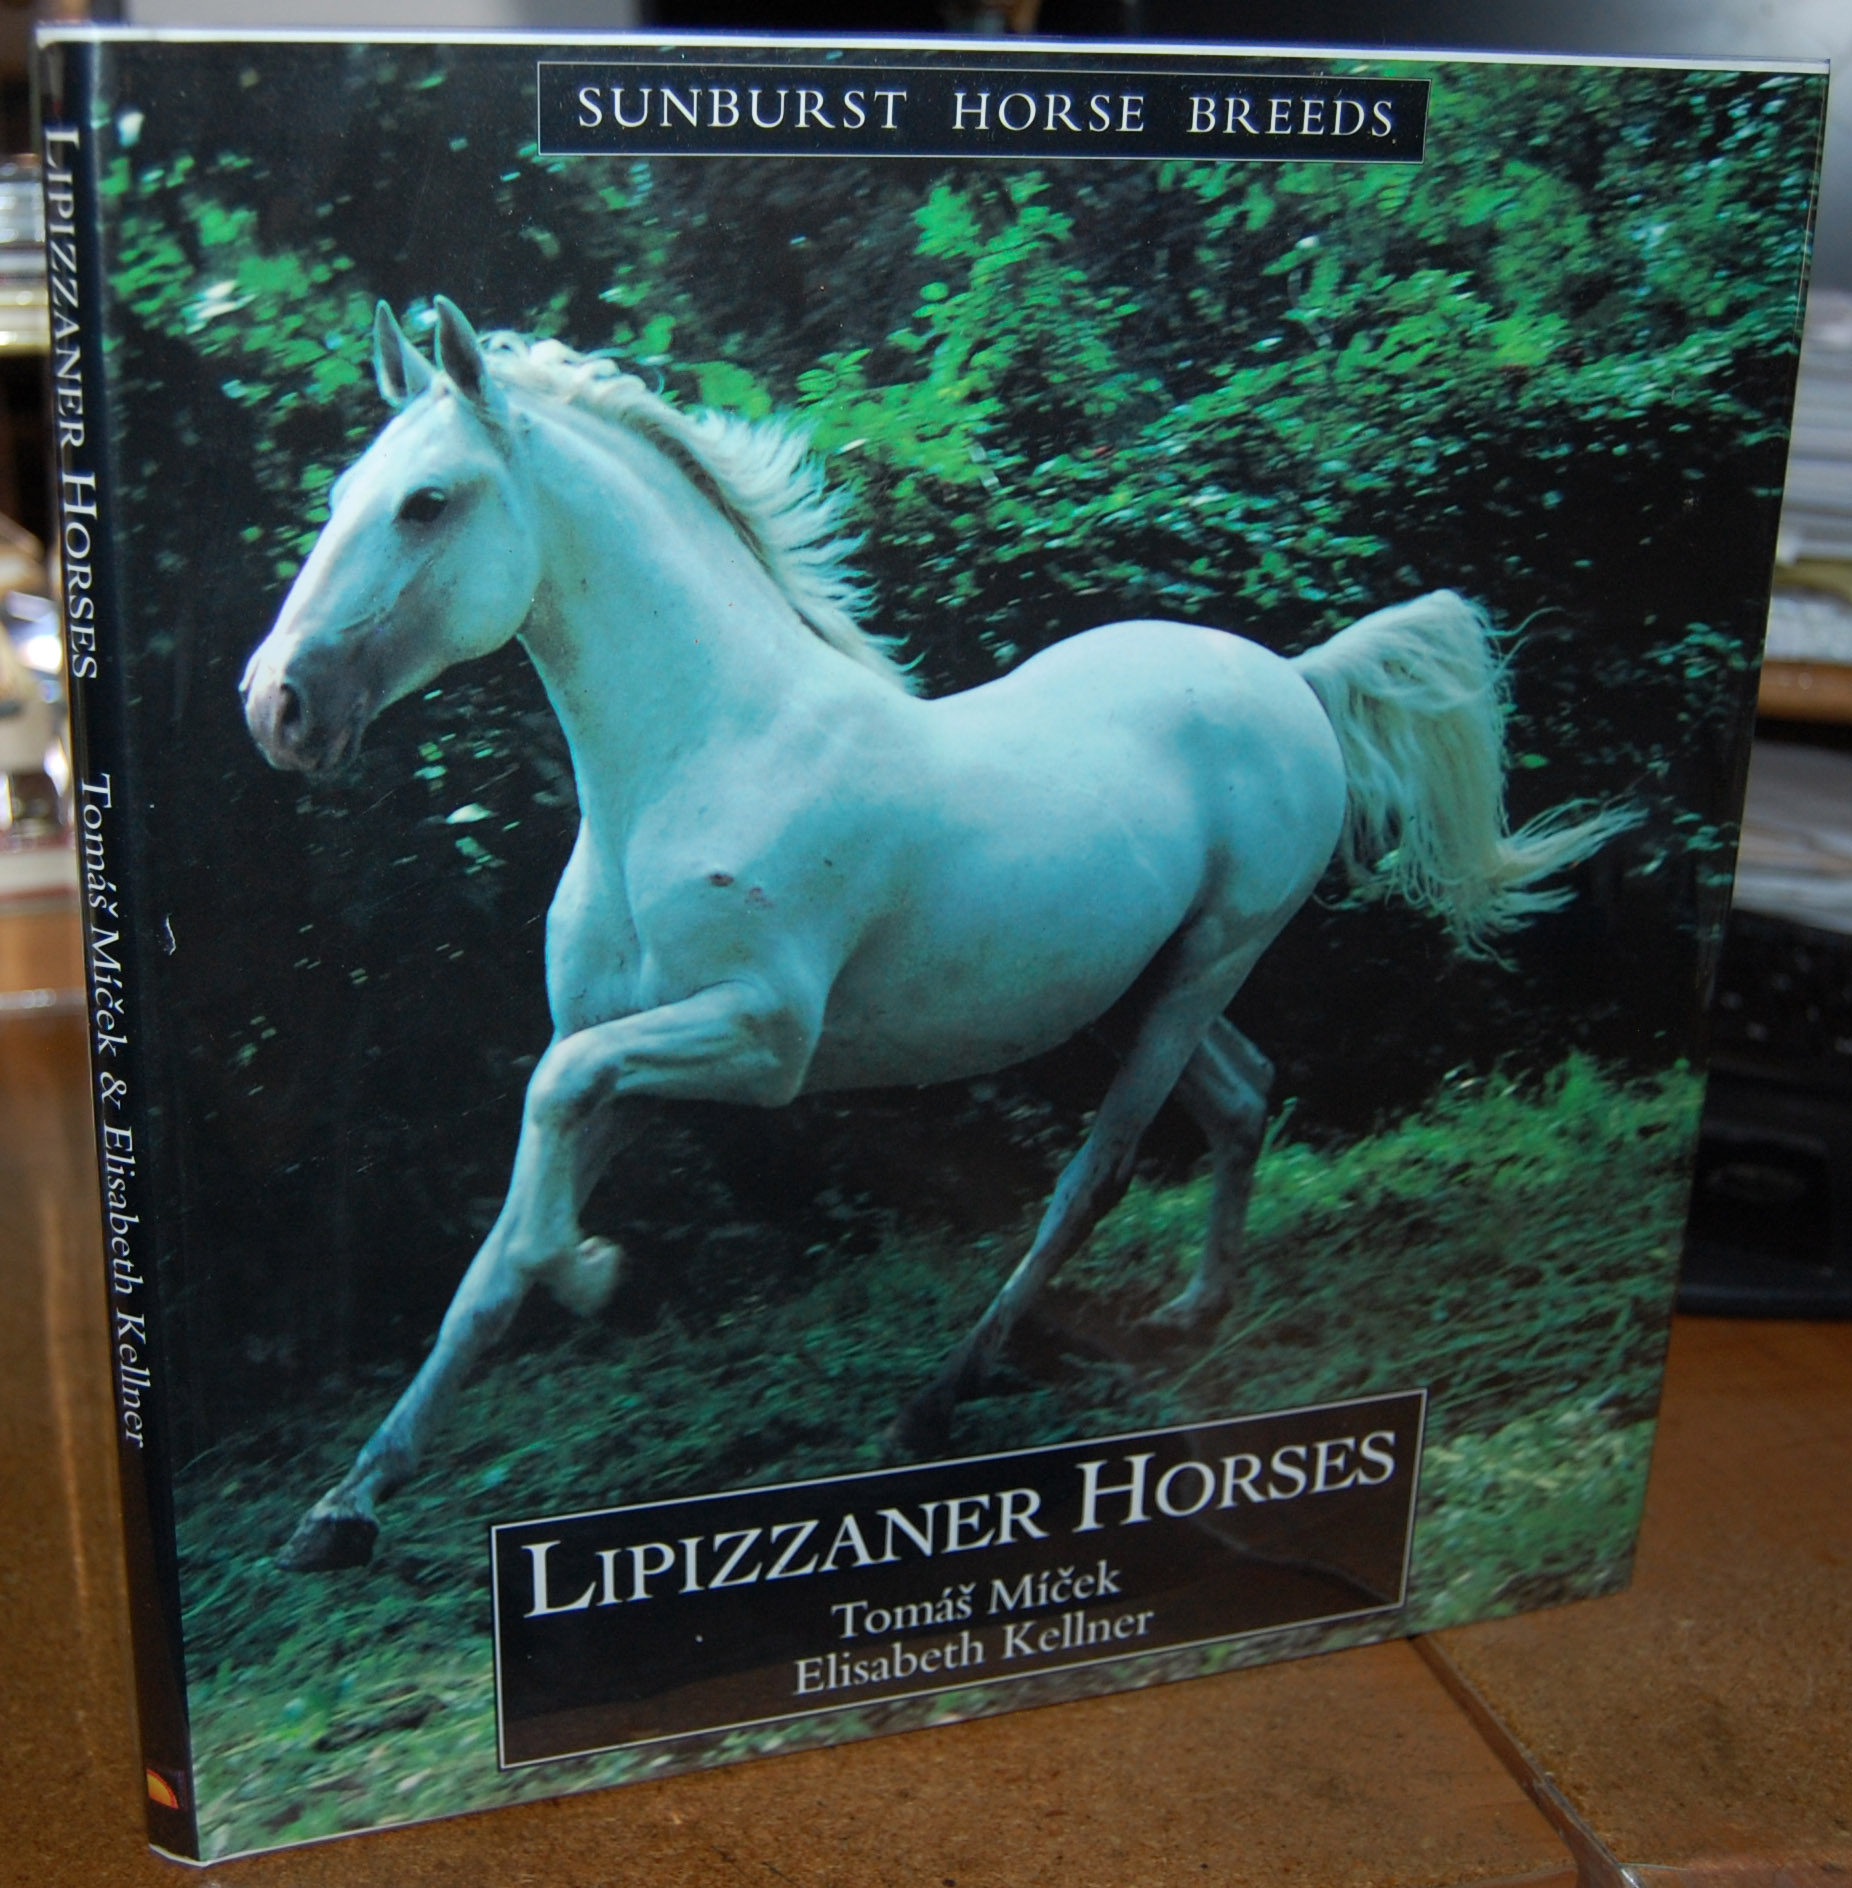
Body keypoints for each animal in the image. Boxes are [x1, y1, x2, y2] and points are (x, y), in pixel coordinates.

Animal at [242, 298, 1633, 1571]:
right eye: (342, 494)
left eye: (426, 503)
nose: (276, 707)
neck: (696, 759)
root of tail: (1291, 677)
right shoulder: (625, 1050)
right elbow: (485, 1266)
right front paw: (341, 1508)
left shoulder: (759, 1039)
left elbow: (543, 1126)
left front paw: (582, 1265)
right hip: (1134, 982)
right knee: (1243, 1093)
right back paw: (1193, 1307)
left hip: (1210, 959)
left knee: (1099, 1169)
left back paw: (942, 1394)